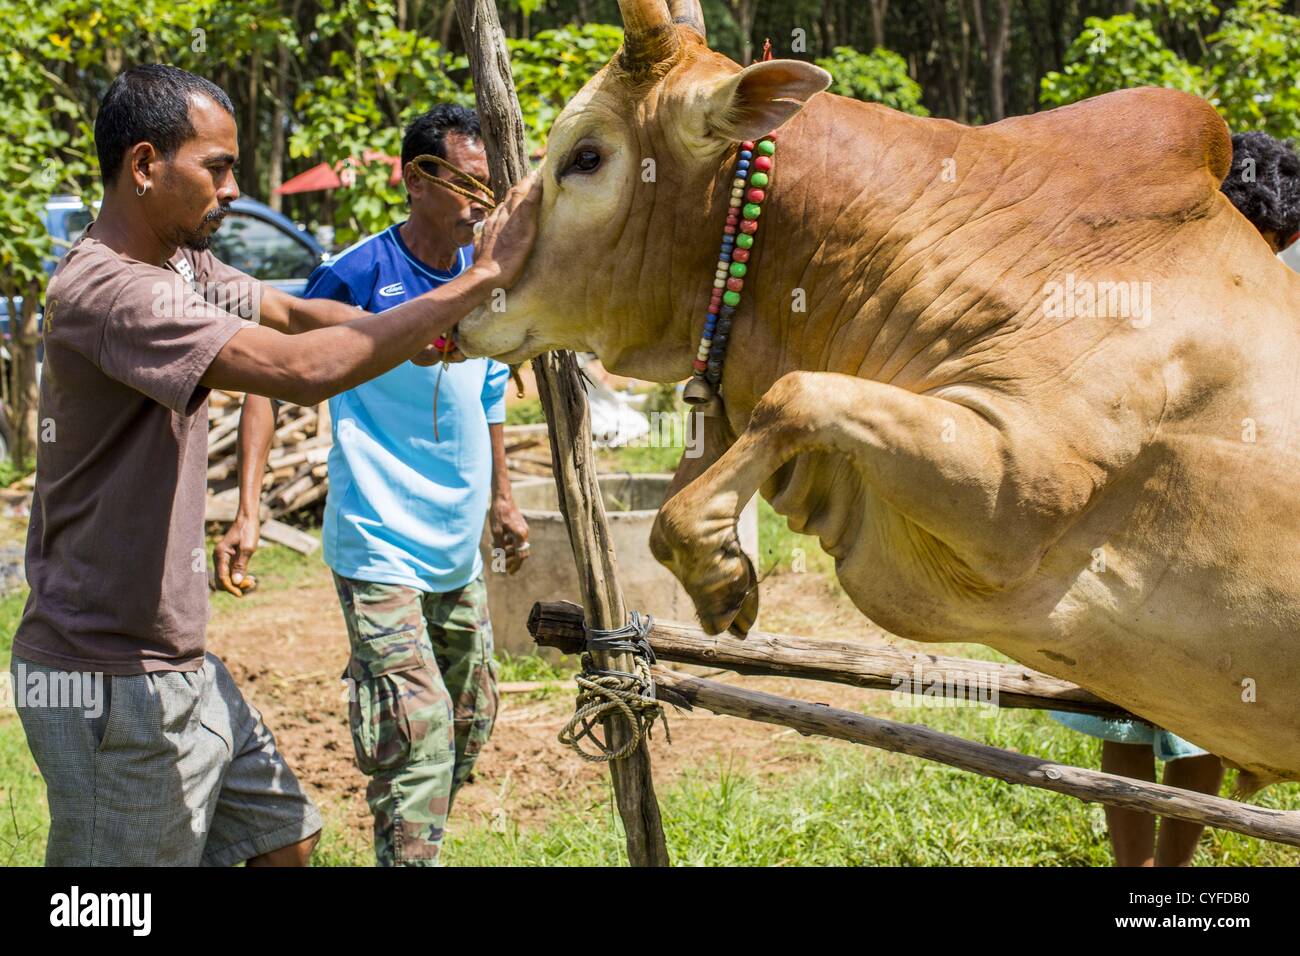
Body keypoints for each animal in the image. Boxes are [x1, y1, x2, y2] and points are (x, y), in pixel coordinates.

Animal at [456, 0, 1300, 792]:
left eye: (586, 157)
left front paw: (721, 573)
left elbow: (794, 398)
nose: (467, 303)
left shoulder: (1018, 486)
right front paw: (719, 574)